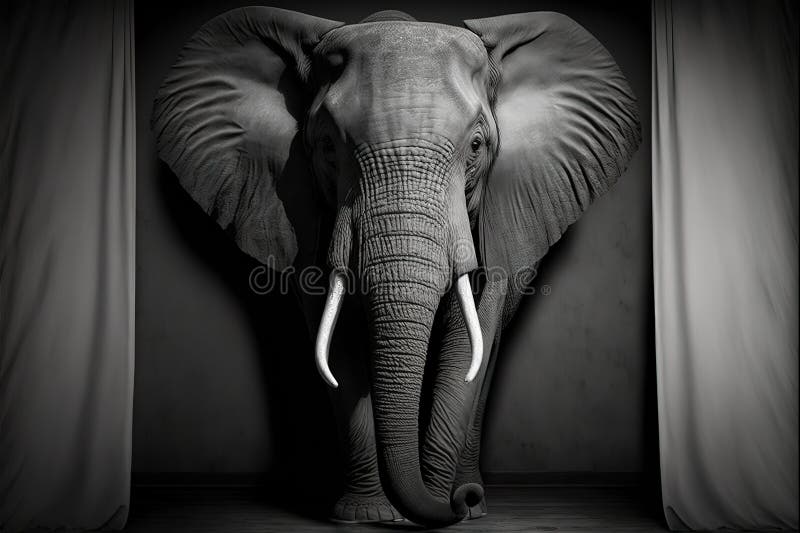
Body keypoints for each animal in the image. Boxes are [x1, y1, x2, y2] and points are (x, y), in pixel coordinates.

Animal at [151, 6, 641, 528]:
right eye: (327, 146)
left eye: (476, 146)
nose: (455, 500)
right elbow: (335, 339)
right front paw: (368, 515)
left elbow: (471, 333)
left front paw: (441, 506)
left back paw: (474, 505)